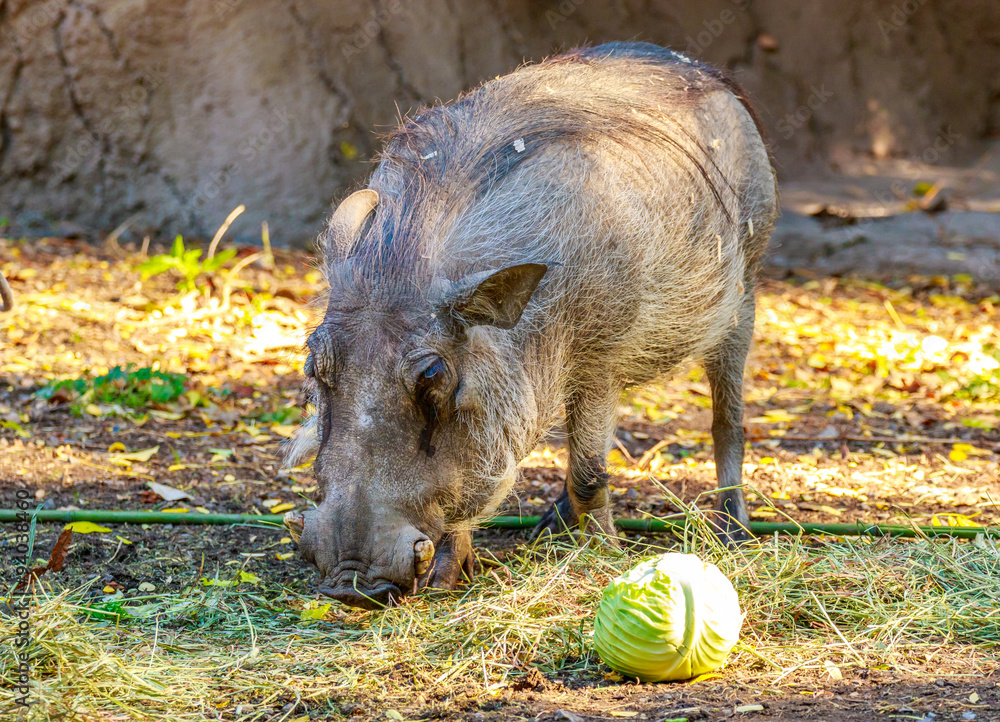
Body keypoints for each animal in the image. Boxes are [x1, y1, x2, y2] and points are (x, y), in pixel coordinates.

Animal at [284, 42, 778, 609]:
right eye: (315, 364)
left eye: (433, 376)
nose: (352, 584)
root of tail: (698, 68)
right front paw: (451, 575)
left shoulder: (600, 360)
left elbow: (590, 473)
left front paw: (605, 558)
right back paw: (553, 524)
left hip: (744, 297)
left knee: (727, 420)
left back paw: (733, 529)